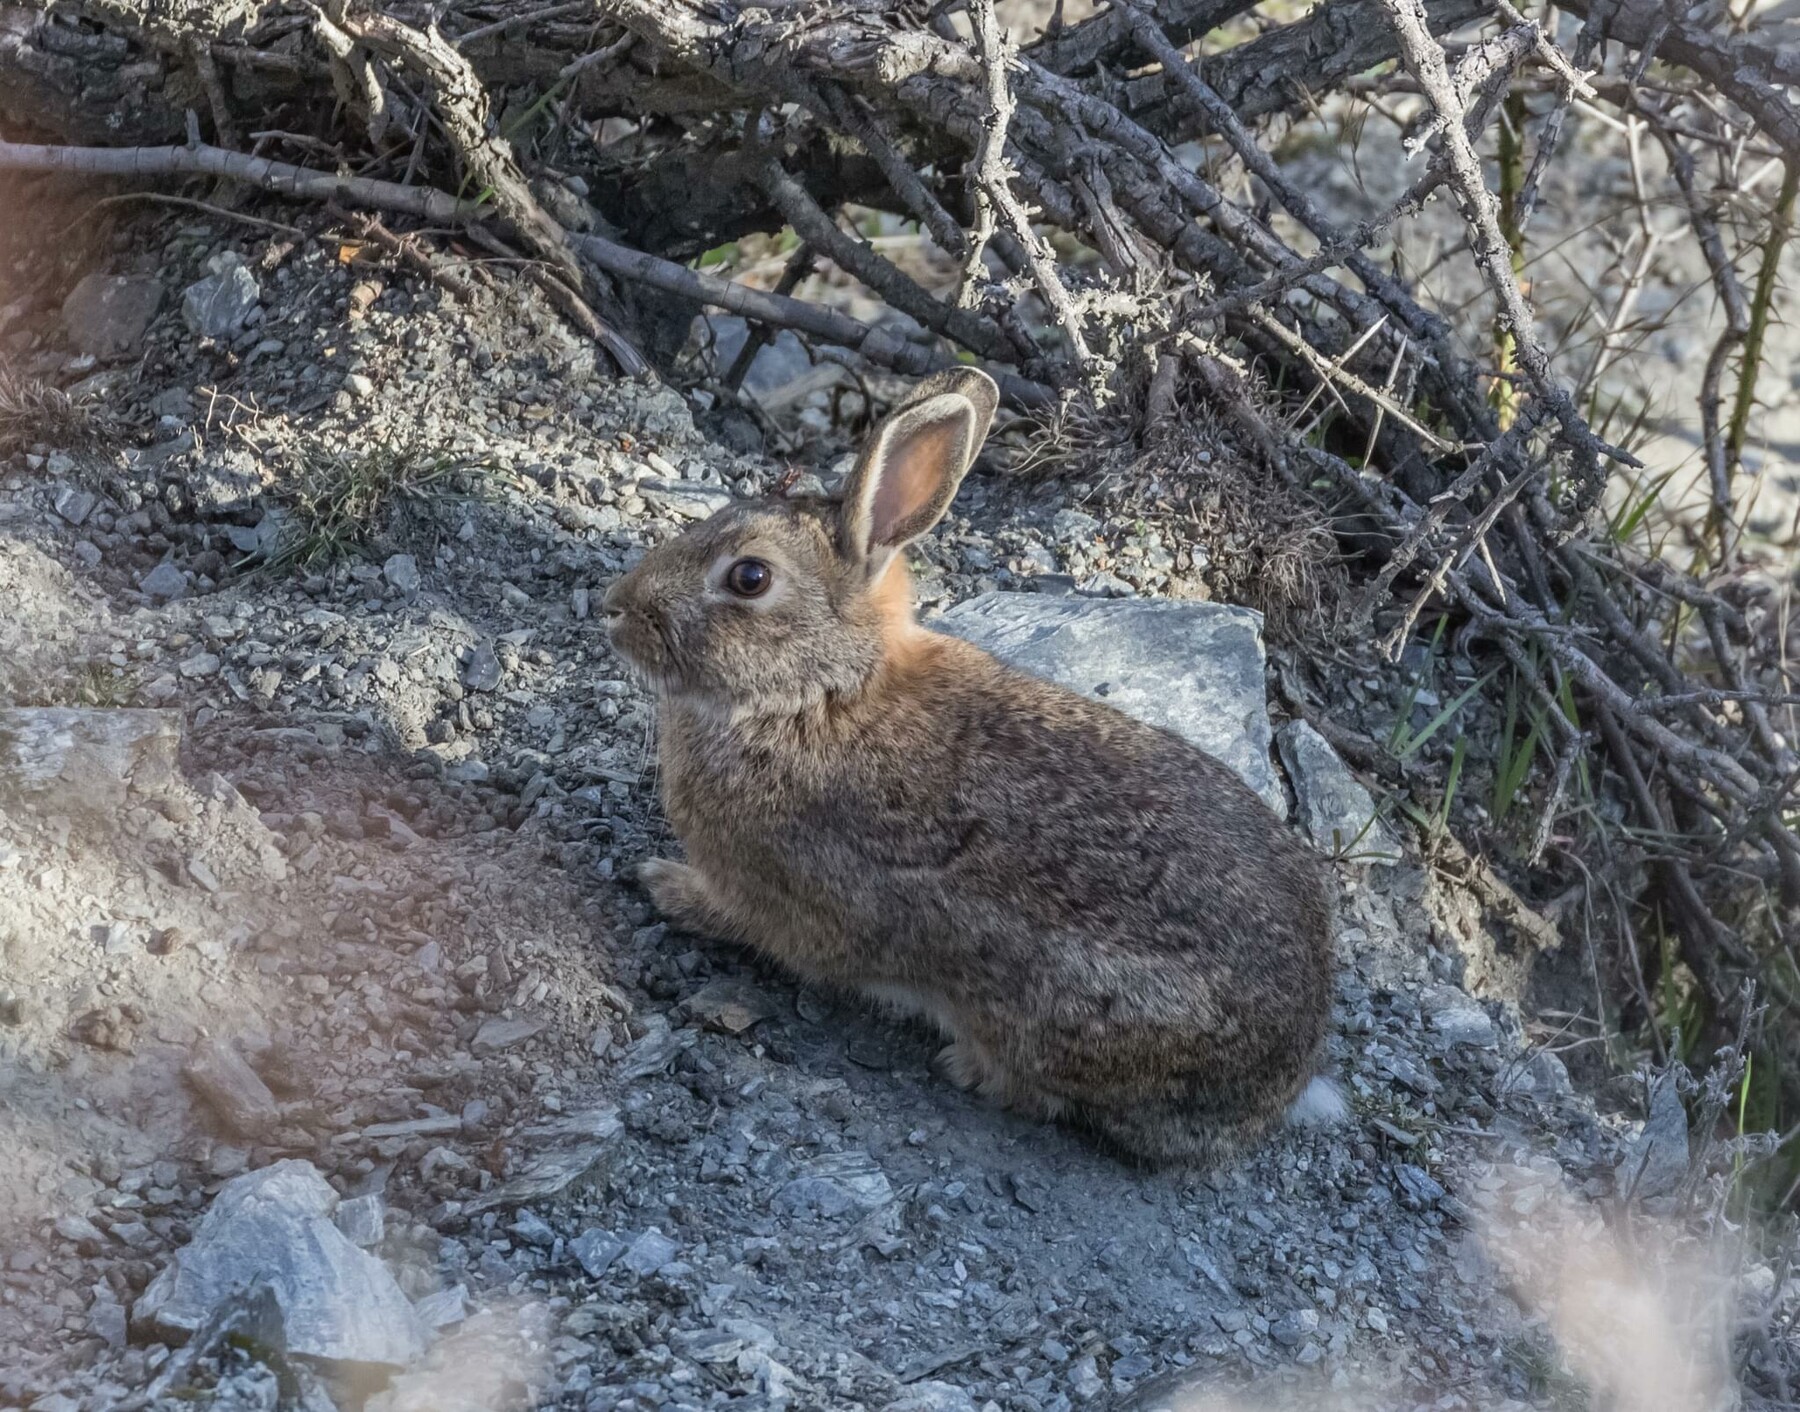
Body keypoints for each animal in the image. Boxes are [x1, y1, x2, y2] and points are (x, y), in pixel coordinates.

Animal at [603, 367, 1339, 1165]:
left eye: (748, 578)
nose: (616, 606)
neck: (818, 693)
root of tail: (1282, 1083)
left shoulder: (775, 898)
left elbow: (743, 920)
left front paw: (663, 884)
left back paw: (965, 1066)